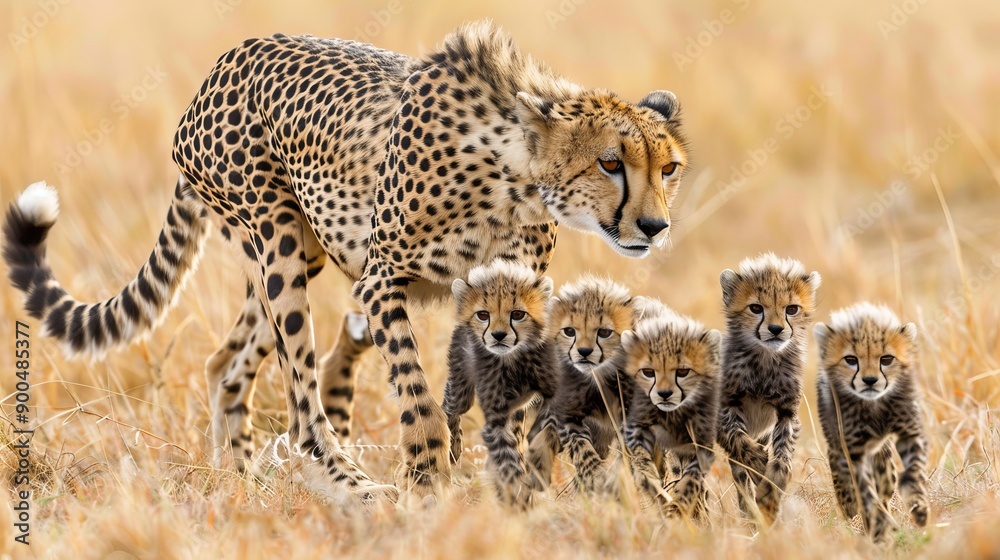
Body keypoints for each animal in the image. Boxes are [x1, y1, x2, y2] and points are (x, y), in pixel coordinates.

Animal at [441, 259, 557, 508]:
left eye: (518, 314)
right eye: (483, 315)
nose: (499, 335)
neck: (514, 359)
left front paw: (537, 472)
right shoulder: (496, 417)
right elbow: (508, 456)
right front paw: (517, 496)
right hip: (460, 389)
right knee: (449, 406)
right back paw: (453, 447)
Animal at [620, 298, 721, 519]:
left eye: (683, 371)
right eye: (648, 372)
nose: (664, 394)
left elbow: (691, 477)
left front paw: (683, 507)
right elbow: (644, 469)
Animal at [716, 253, 821, 525]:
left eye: (791, 309)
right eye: (756, 308)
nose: (775, 329)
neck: (765, 359)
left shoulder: (787, 413)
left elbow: (783, 461)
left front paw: (771, 494)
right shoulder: (724, 409)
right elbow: (738, 439)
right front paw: (758, 464)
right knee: (741, 478)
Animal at [814, 302, 929, 542]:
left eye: (886, 359)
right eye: (851, 360)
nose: (869, 380)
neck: (874, 406)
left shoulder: (909, 433)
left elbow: (914, 472)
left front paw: (919, 508)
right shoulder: (851, 449)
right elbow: (864, 492)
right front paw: (881, 525)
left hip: (882, 456)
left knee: (884, 485)